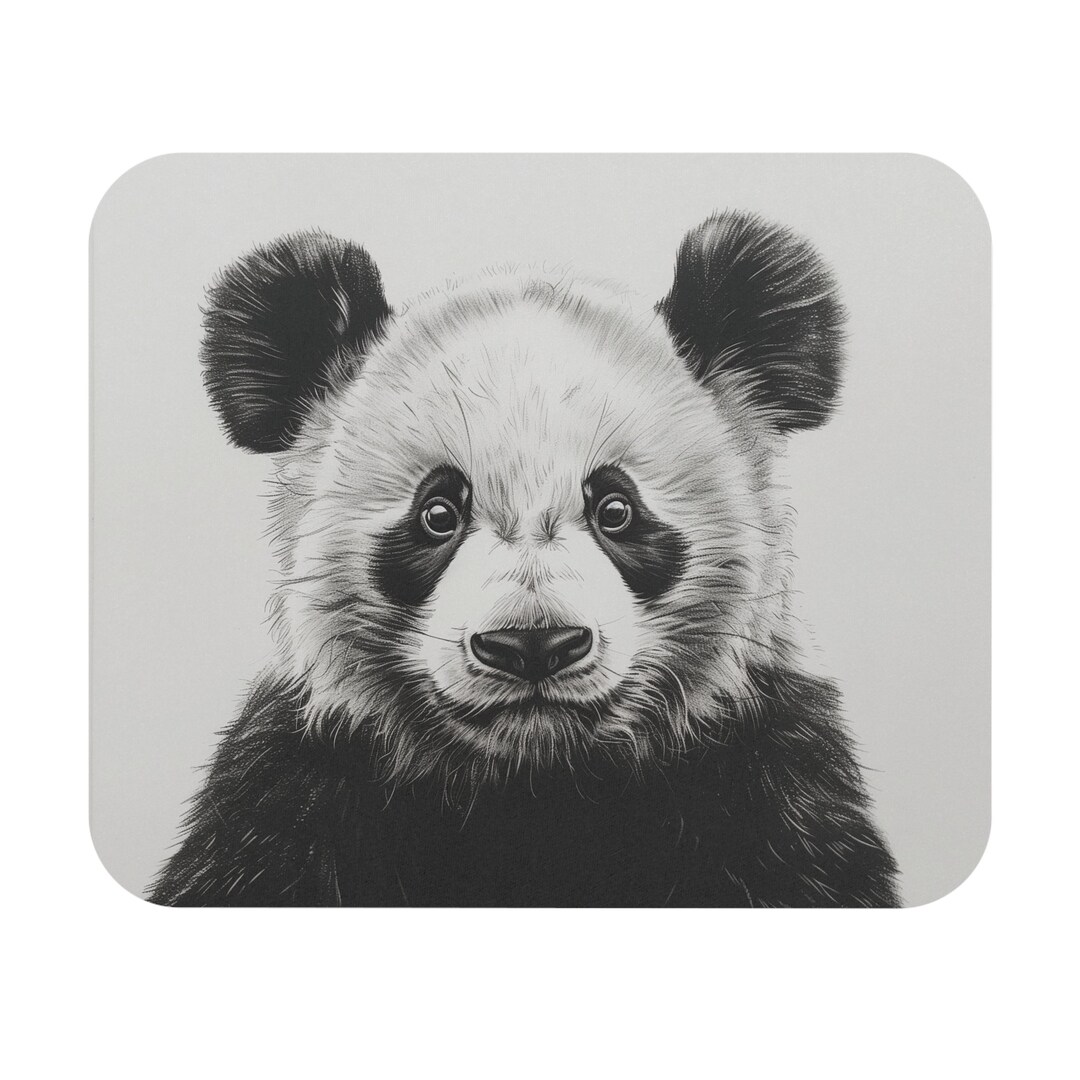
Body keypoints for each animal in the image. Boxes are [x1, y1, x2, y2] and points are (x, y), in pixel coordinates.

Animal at [151, 211, 899, 907]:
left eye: (616, 510)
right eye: (437, 515)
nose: (533, 646)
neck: (537, 784)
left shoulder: (766, 780)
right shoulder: (298, 789)